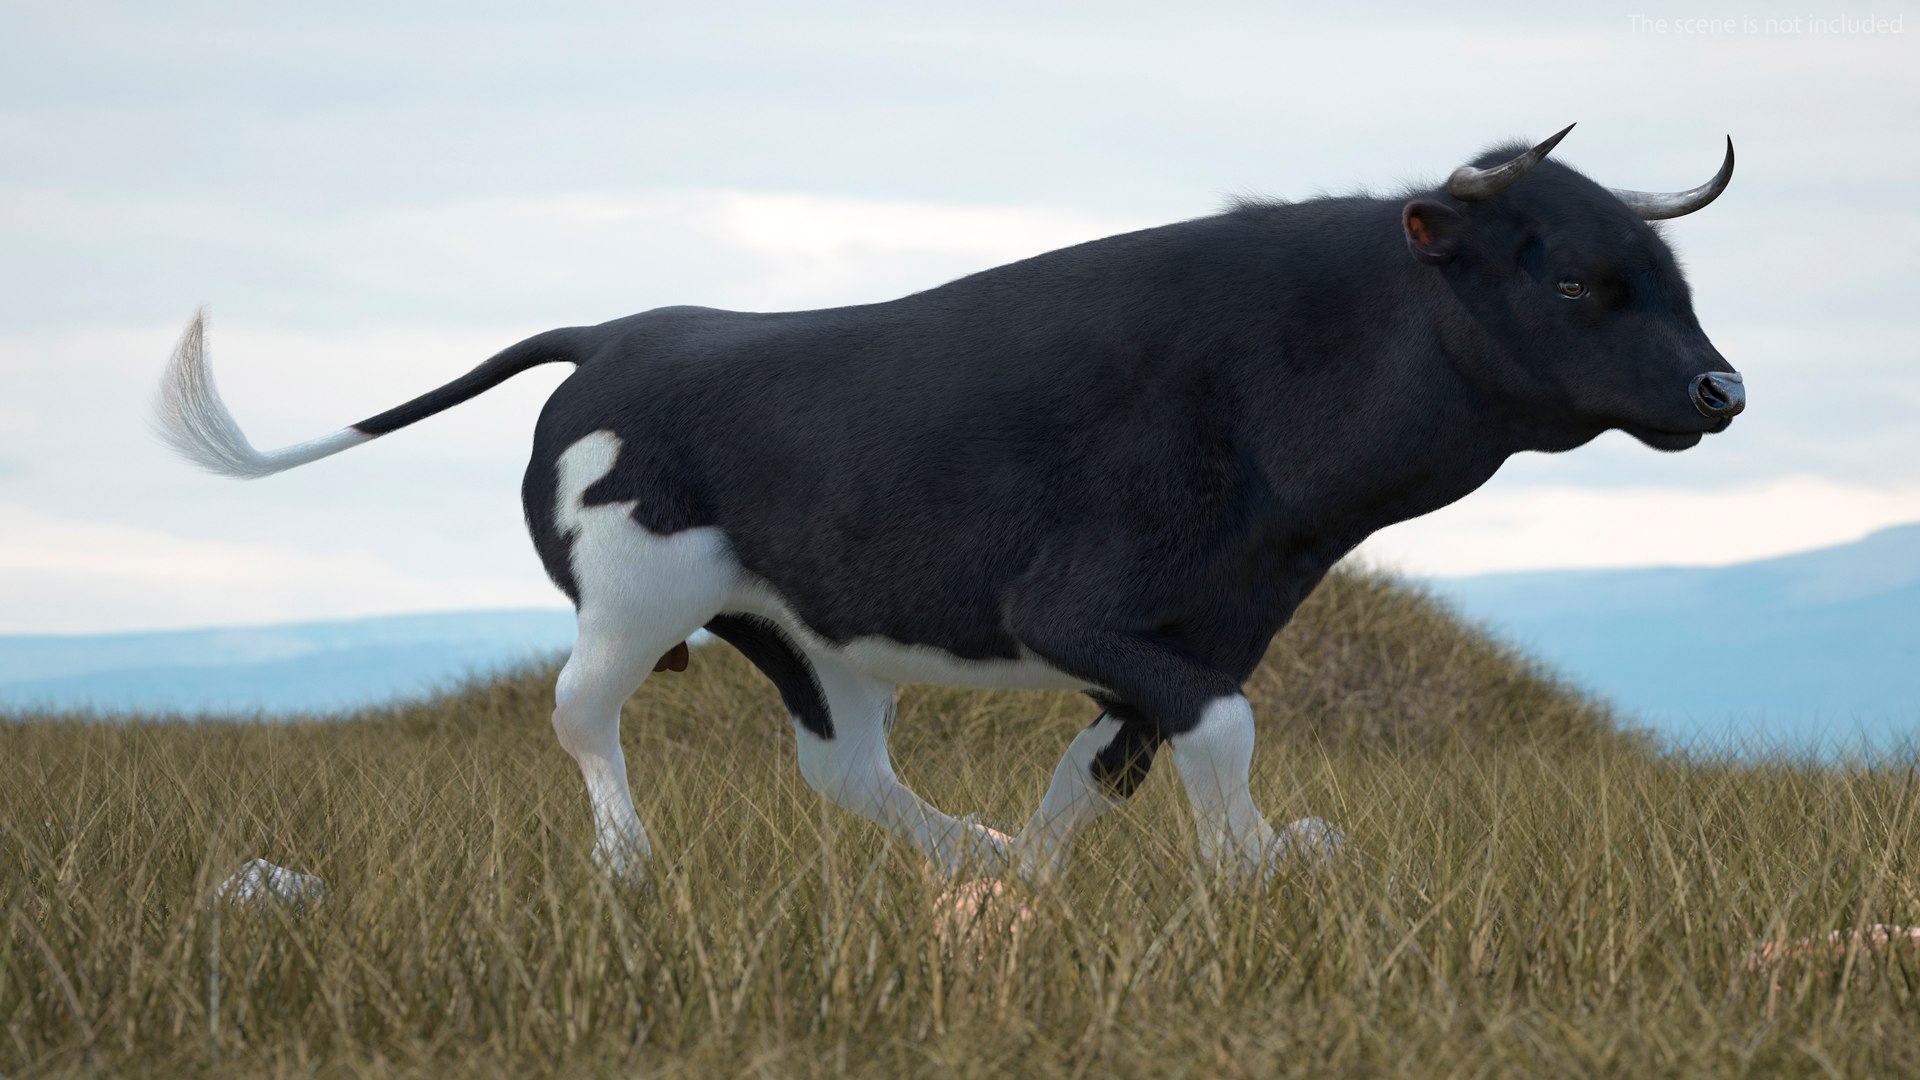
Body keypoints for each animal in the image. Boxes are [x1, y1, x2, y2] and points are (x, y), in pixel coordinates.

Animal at [155, 125, 1743, 885]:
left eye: (1669, 274)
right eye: (1575, 280)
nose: (1721, 388)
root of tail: (622, 329)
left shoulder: (1200, 626)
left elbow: (1110, 766)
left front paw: (1026, 890)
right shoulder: (1082, 609)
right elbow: (1217, 736)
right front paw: (1259, 867)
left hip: (805, 633)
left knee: (843, 768)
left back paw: (963, 854)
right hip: (636, 595)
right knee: (580, 714)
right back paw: (628, 864)